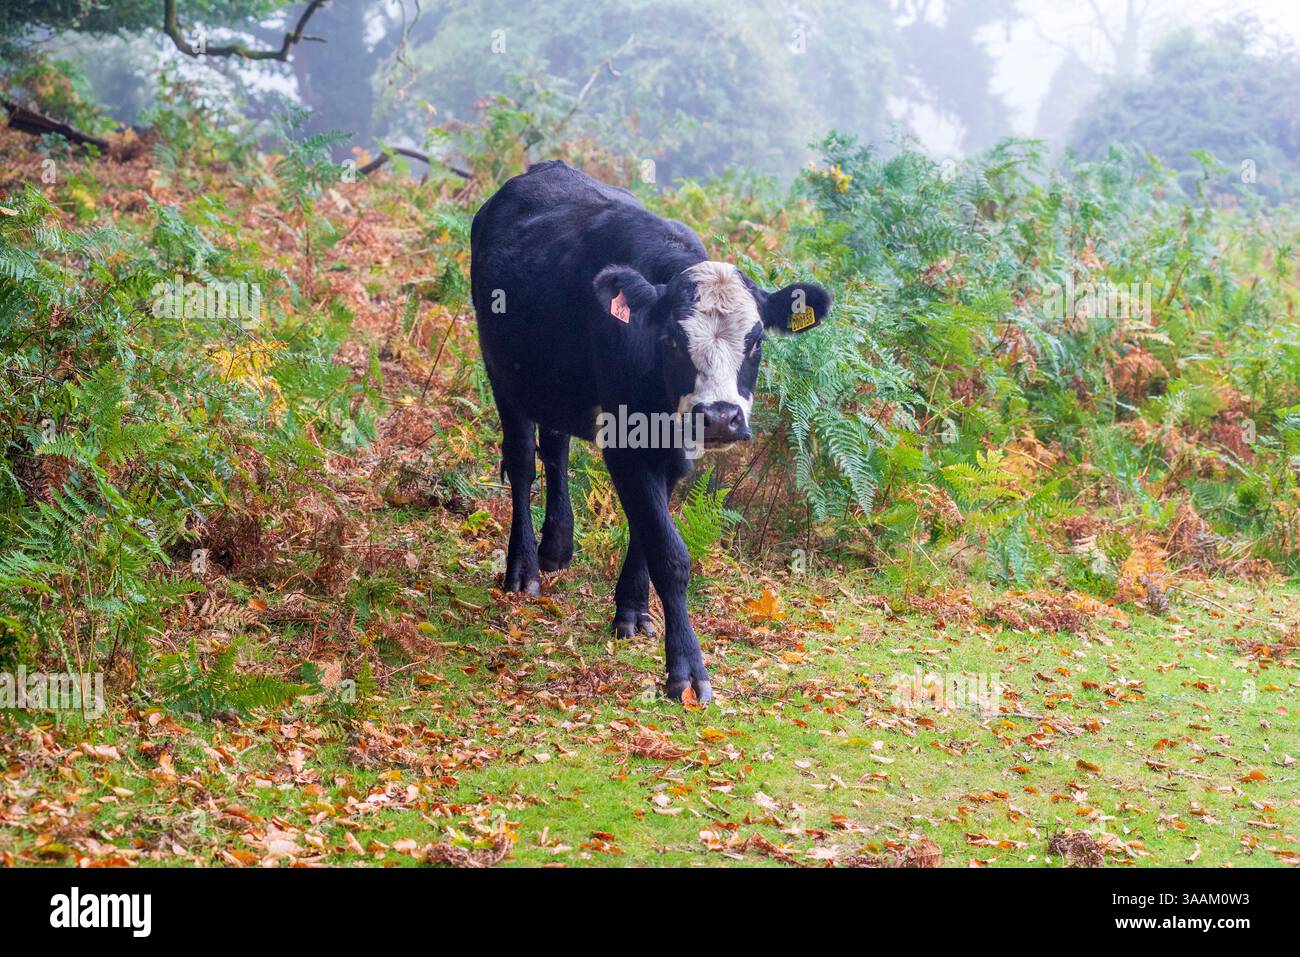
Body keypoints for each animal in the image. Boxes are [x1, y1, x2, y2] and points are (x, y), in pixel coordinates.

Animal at [470, 160, 830, 703]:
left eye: (756, 342)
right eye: (673, 340)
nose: (720, 416)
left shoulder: (677, 449)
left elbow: (646, 527)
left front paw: (632, 610)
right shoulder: (626, 441)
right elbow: (668, 550)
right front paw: (685, 670)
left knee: (555, 448)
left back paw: (557, 546)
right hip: (503, 372)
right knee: (521, 463)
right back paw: (524, 569)